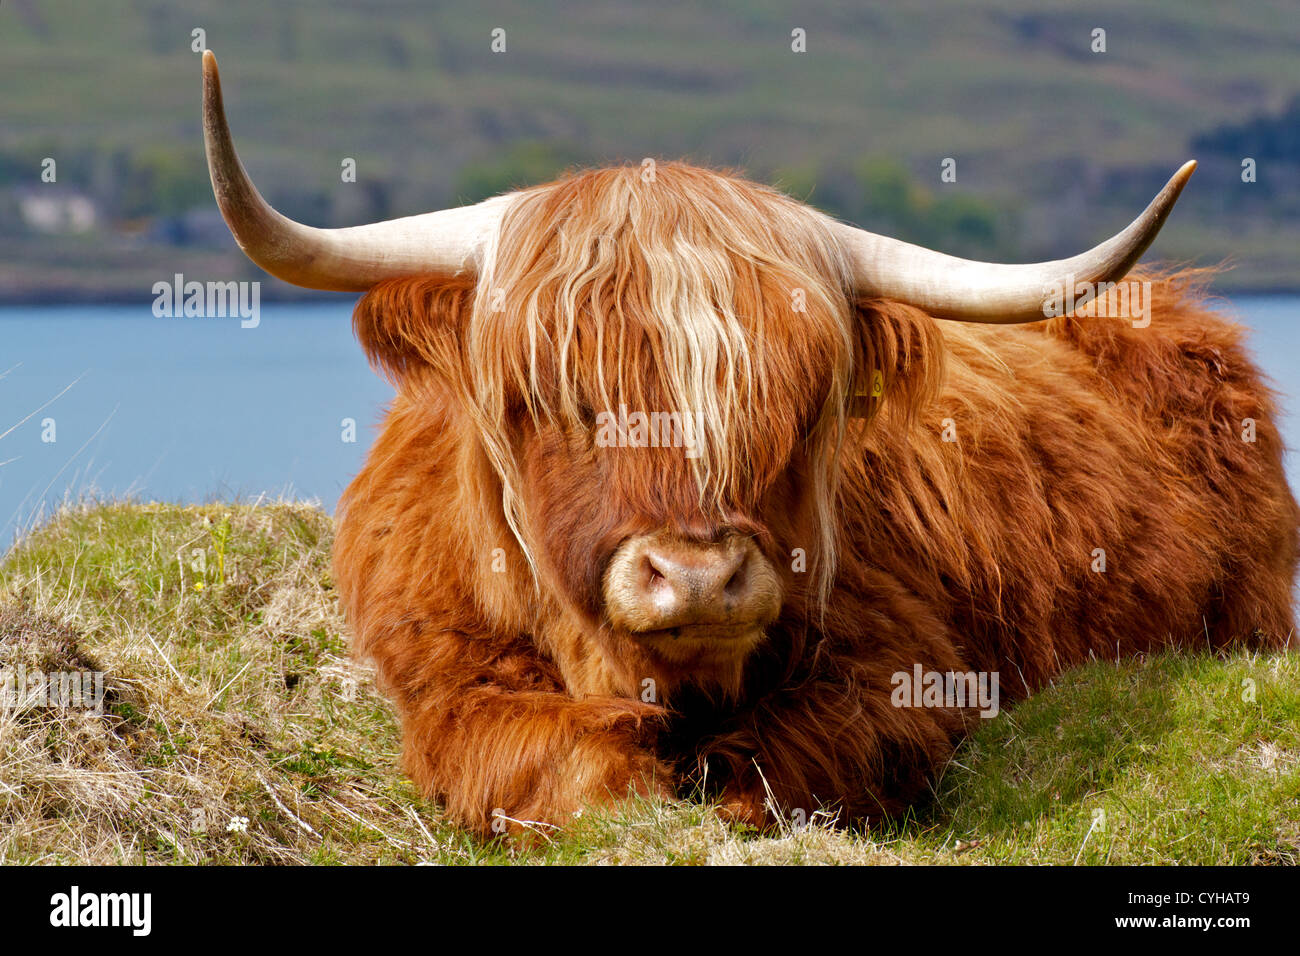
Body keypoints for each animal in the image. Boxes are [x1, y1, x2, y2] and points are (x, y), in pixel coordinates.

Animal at [201, 52, 1298, 835]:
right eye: (552, 395)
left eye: (797, 403)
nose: (697, 576)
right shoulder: (446, 679)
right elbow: (558, 763)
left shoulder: (901, 673)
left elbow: (785, 763)